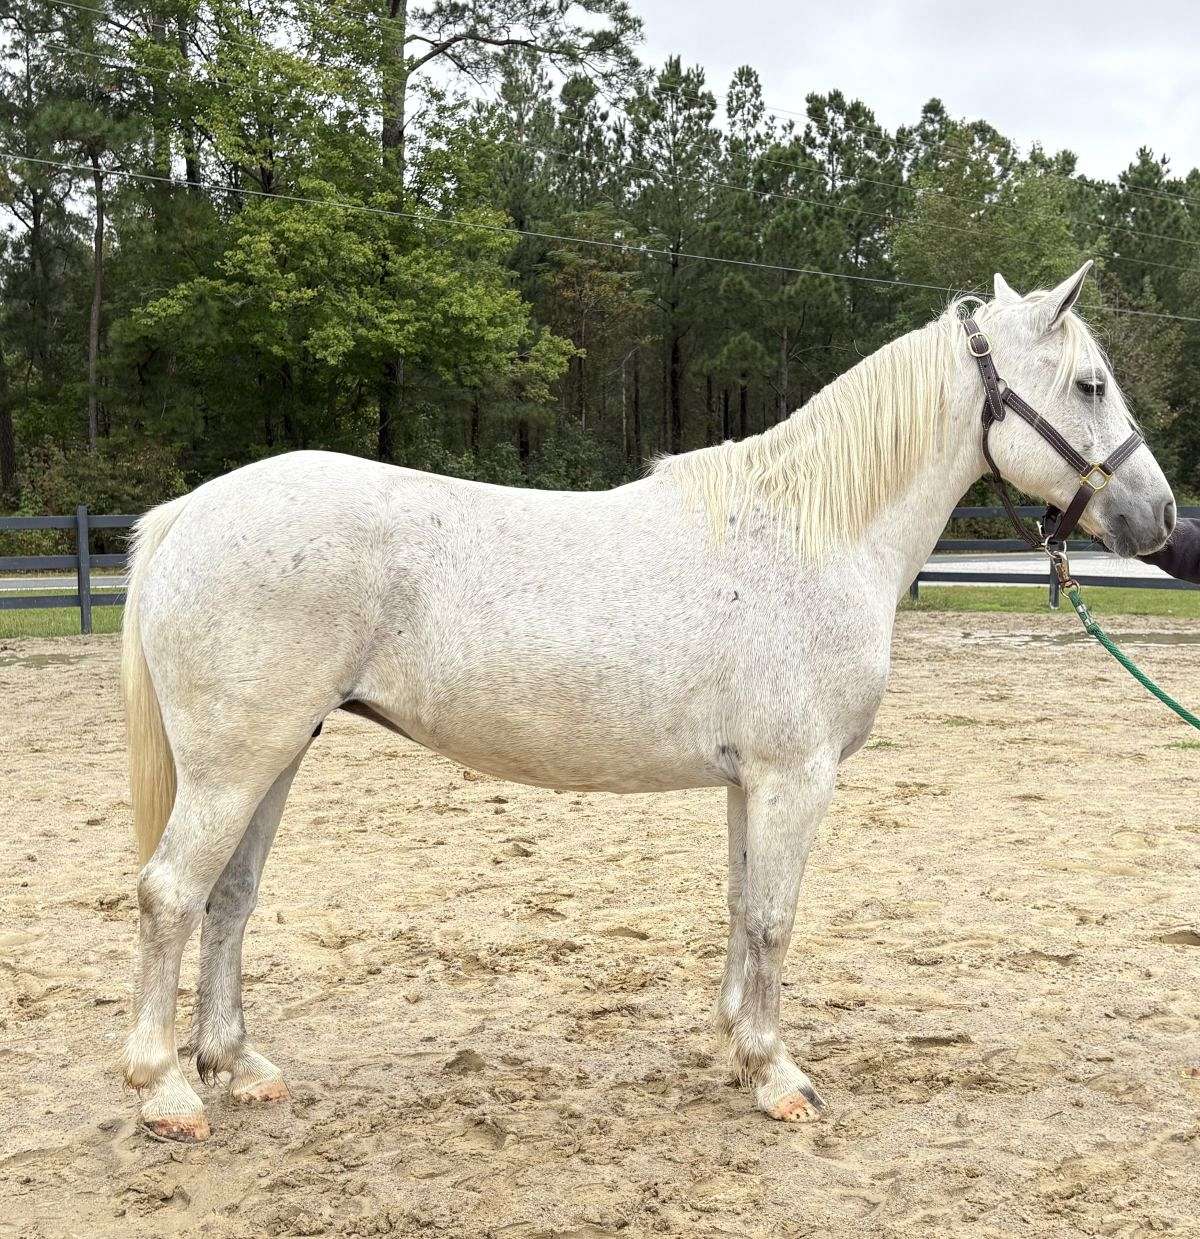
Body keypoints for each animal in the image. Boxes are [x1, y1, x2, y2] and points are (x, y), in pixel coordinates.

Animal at [120, 261, 1175, 1141]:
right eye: (1090, 384)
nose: (1162, 518)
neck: (814, 531)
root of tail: (191, 511)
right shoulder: (796, 776)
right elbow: (774, 917)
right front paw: (780, 1076)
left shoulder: (751, 781)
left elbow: (742, 905)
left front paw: (741, 1049)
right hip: (236, 762)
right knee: (172, 892)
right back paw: (166, 1090)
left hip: (277, 752)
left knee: (230, 896)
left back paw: (240, 1066)